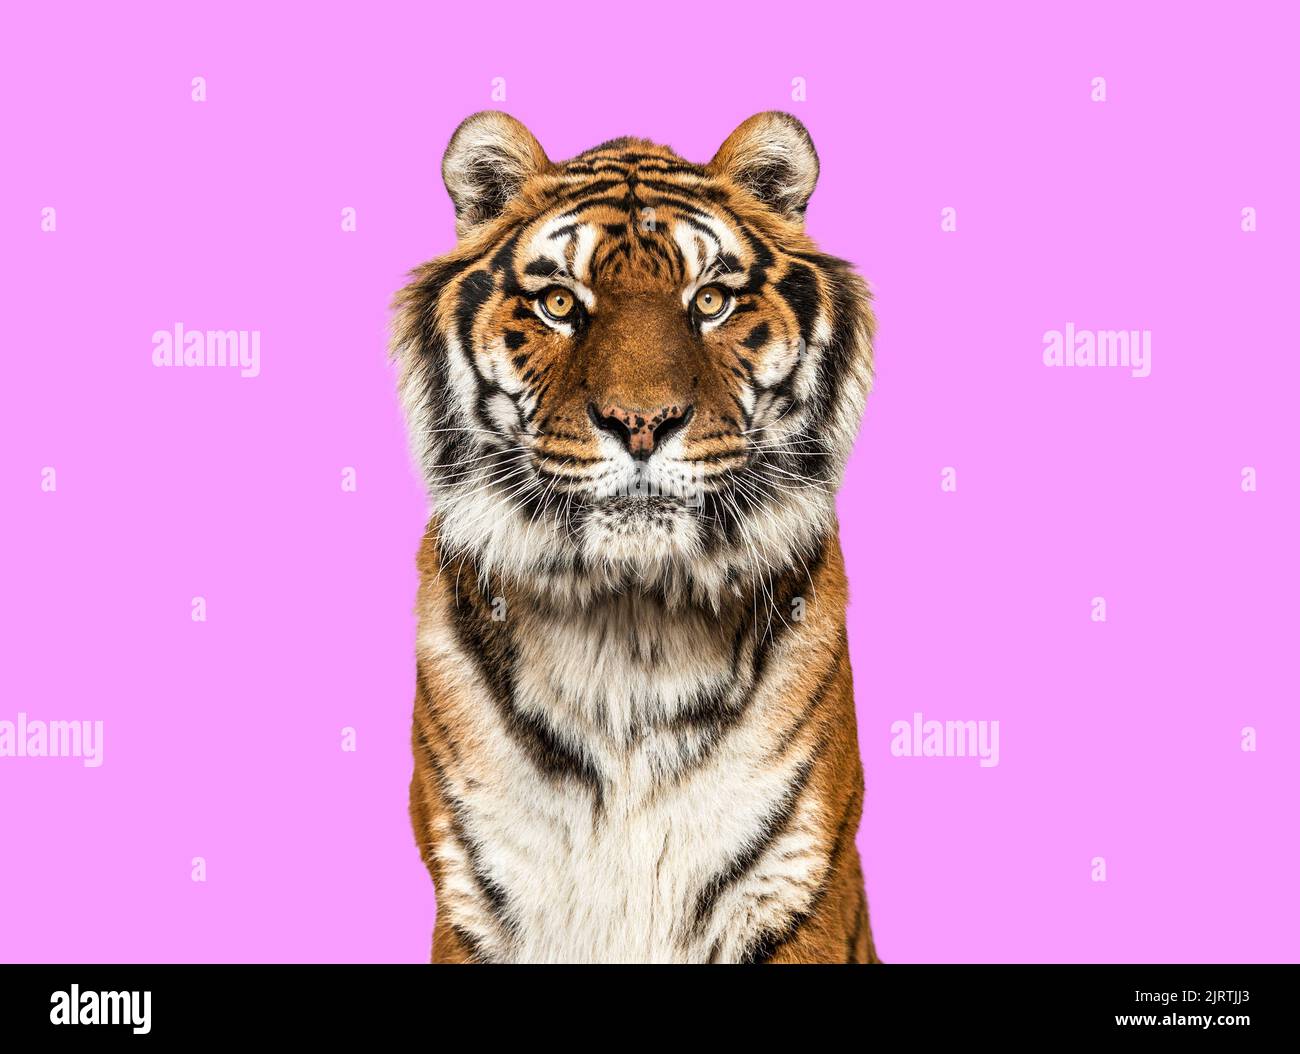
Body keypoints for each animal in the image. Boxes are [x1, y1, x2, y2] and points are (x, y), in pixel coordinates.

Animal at [391, 110, 880, 964]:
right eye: (559, 303)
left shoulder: (795, 880)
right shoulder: (475, 893)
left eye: (711, 300)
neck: (627, 630)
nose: (642, 422)